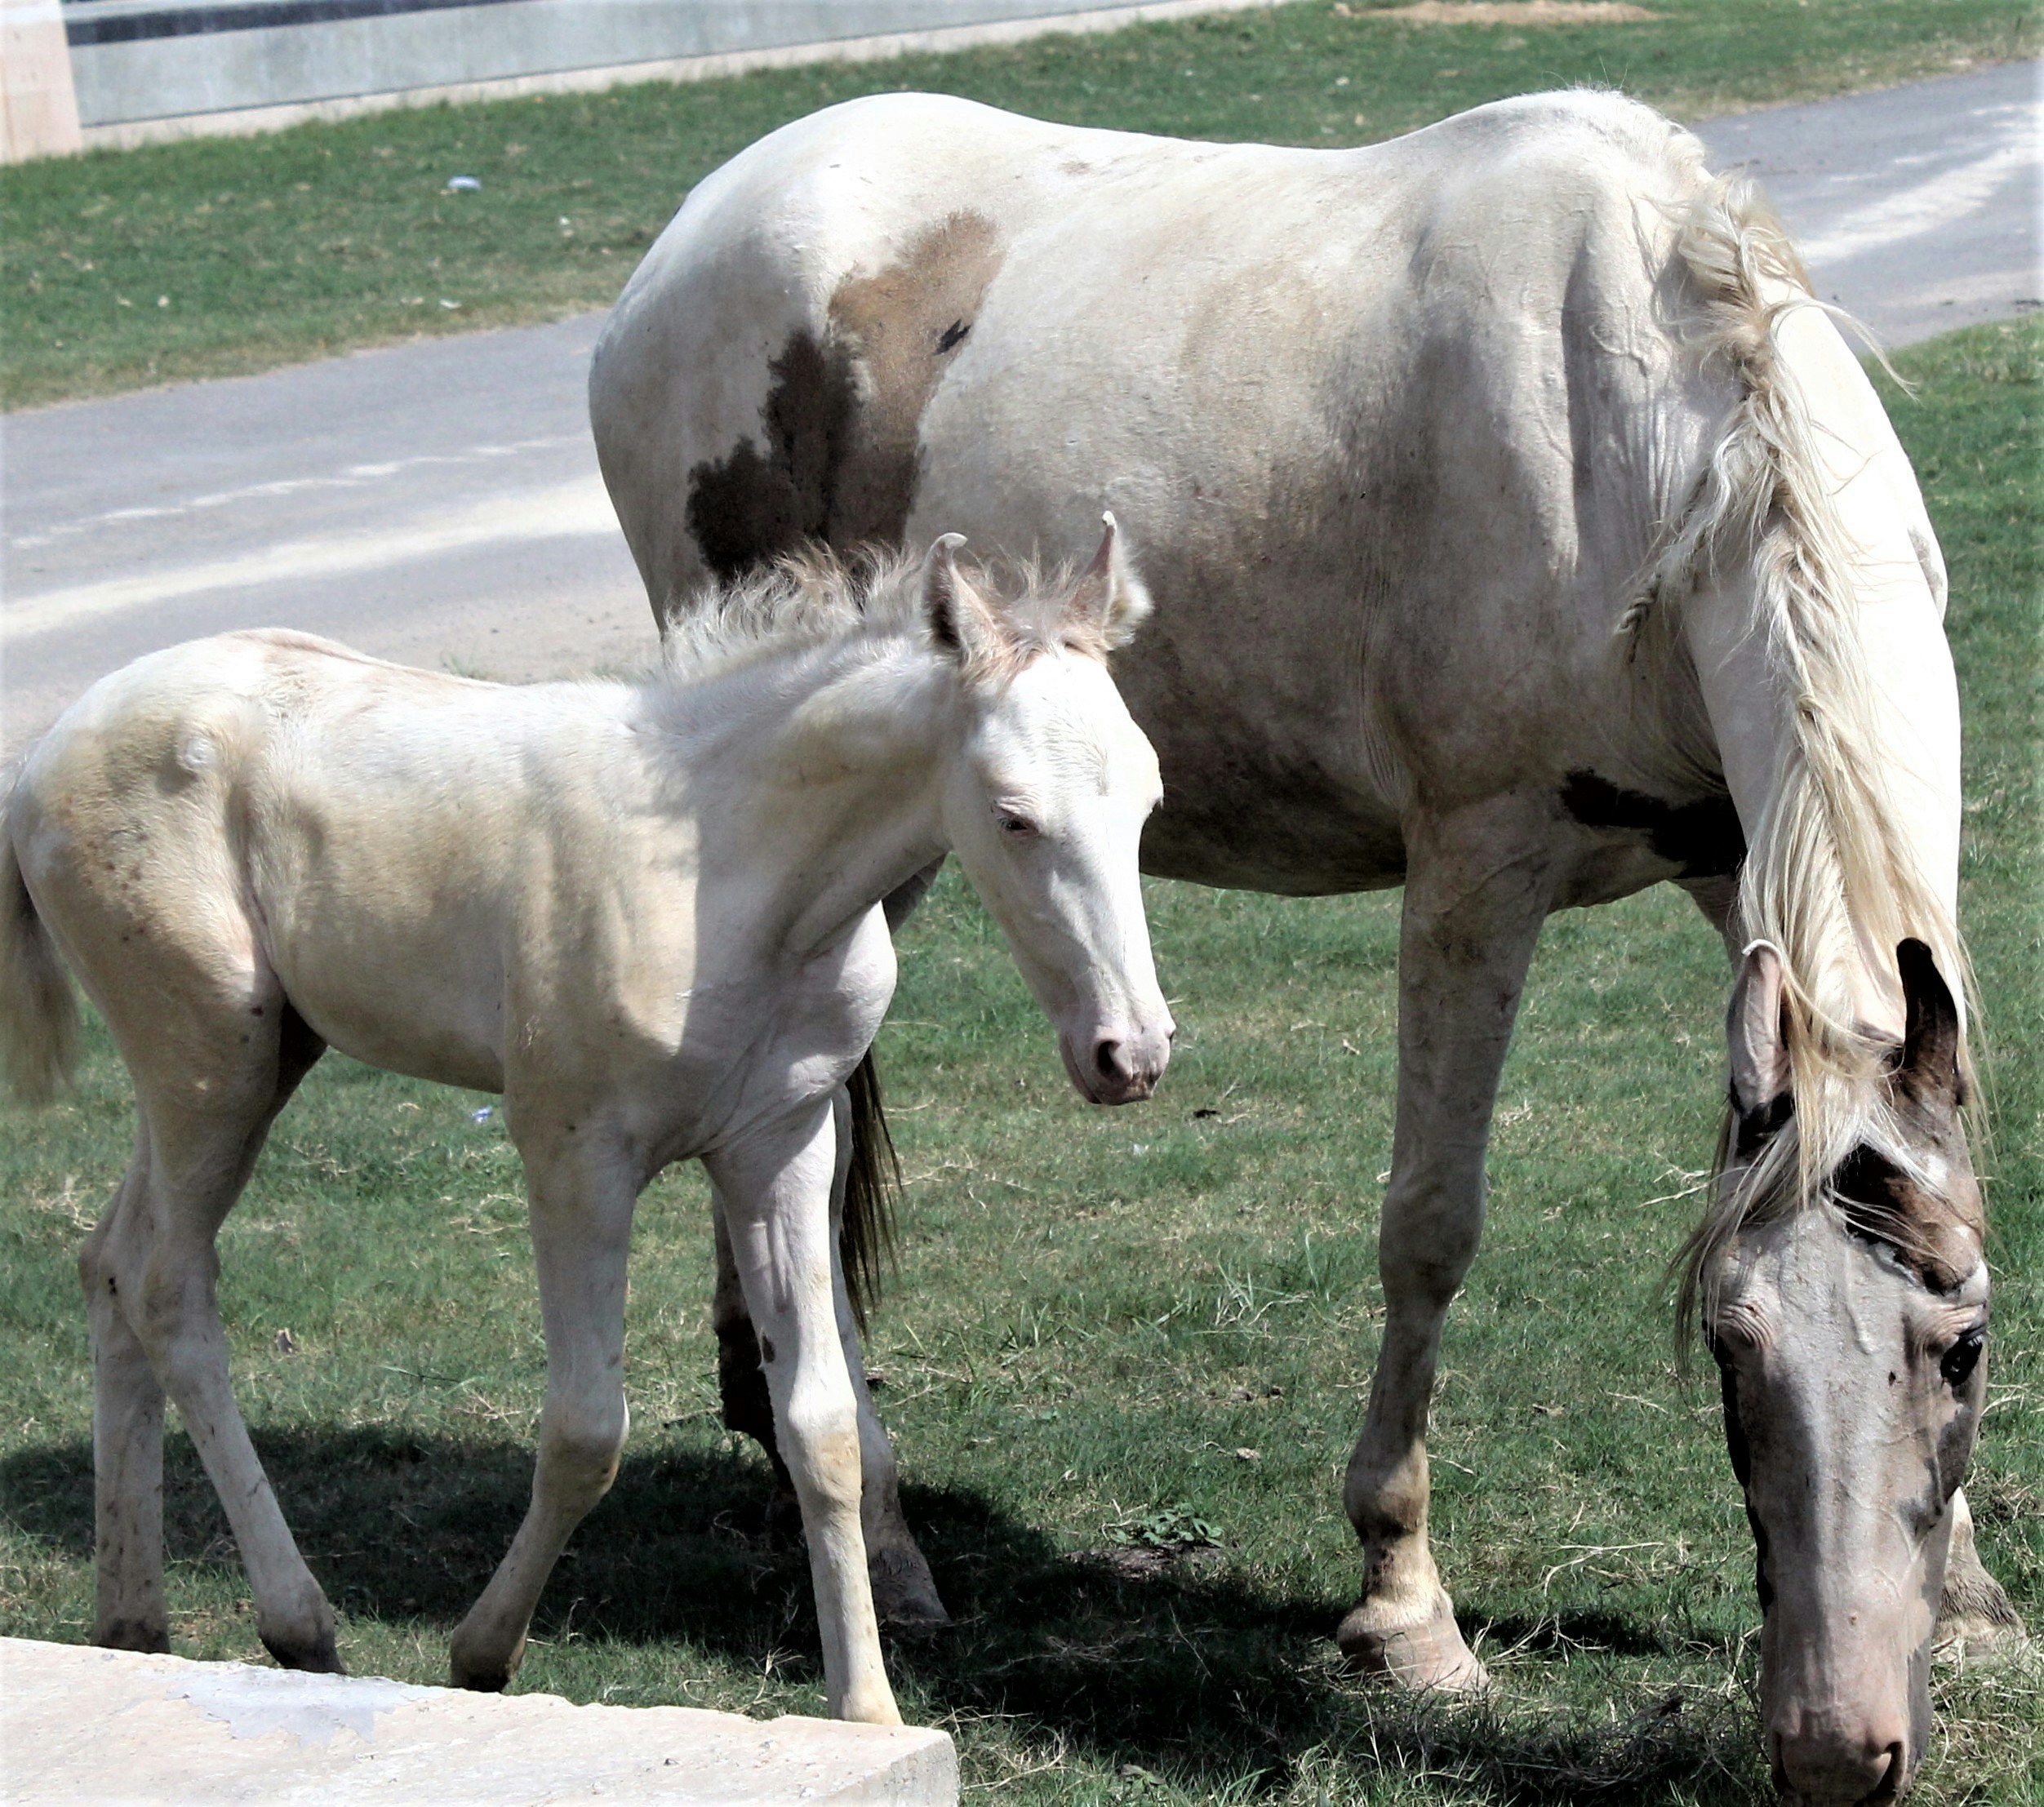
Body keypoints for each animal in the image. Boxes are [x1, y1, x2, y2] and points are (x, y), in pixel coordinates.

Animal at [0, 522, 1172, 1726]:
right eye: (1013, 816)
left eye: (1148, 803)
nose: (1130, 1054)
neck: (735, 877)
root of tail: (45, 752)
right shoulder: (574, 1152)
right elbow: (584, 1430)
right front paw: (481, 1652)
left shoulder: (782, 1141)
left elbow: (823, 1426)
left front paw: (868, 1713)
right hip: (209, 1056)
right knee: (165, 1285)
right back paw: (297, 1622)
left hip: (265, 1052)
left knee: (109, 1260)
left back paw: (131, 1623)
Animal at [587, 89, 2021, 1799]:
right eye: (1730, 1353)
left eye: (1959, 1345)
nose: (1832, 1744)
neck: (1656, 450)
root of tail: (682, 243)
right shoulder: (1474, 865)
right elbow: (1429, 1225)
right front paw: (1404, 1608)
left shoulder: (1730, 864)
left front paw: (1976, 1592)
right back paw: (883, 1542)